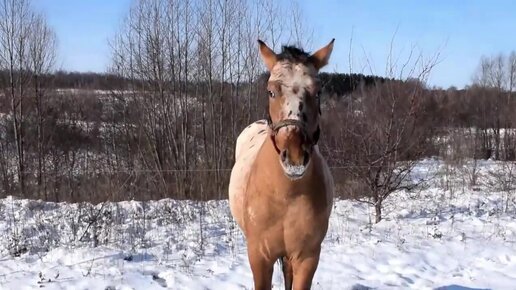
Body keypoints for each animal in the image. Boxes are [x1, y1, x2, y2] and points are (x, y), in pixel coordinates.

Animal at [229, 39, 334, 290]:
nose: (294, 156)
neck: (287, 195)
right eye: (271, 91)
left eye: (318, 92)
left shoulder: (307, 257)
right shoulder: (259, 257)